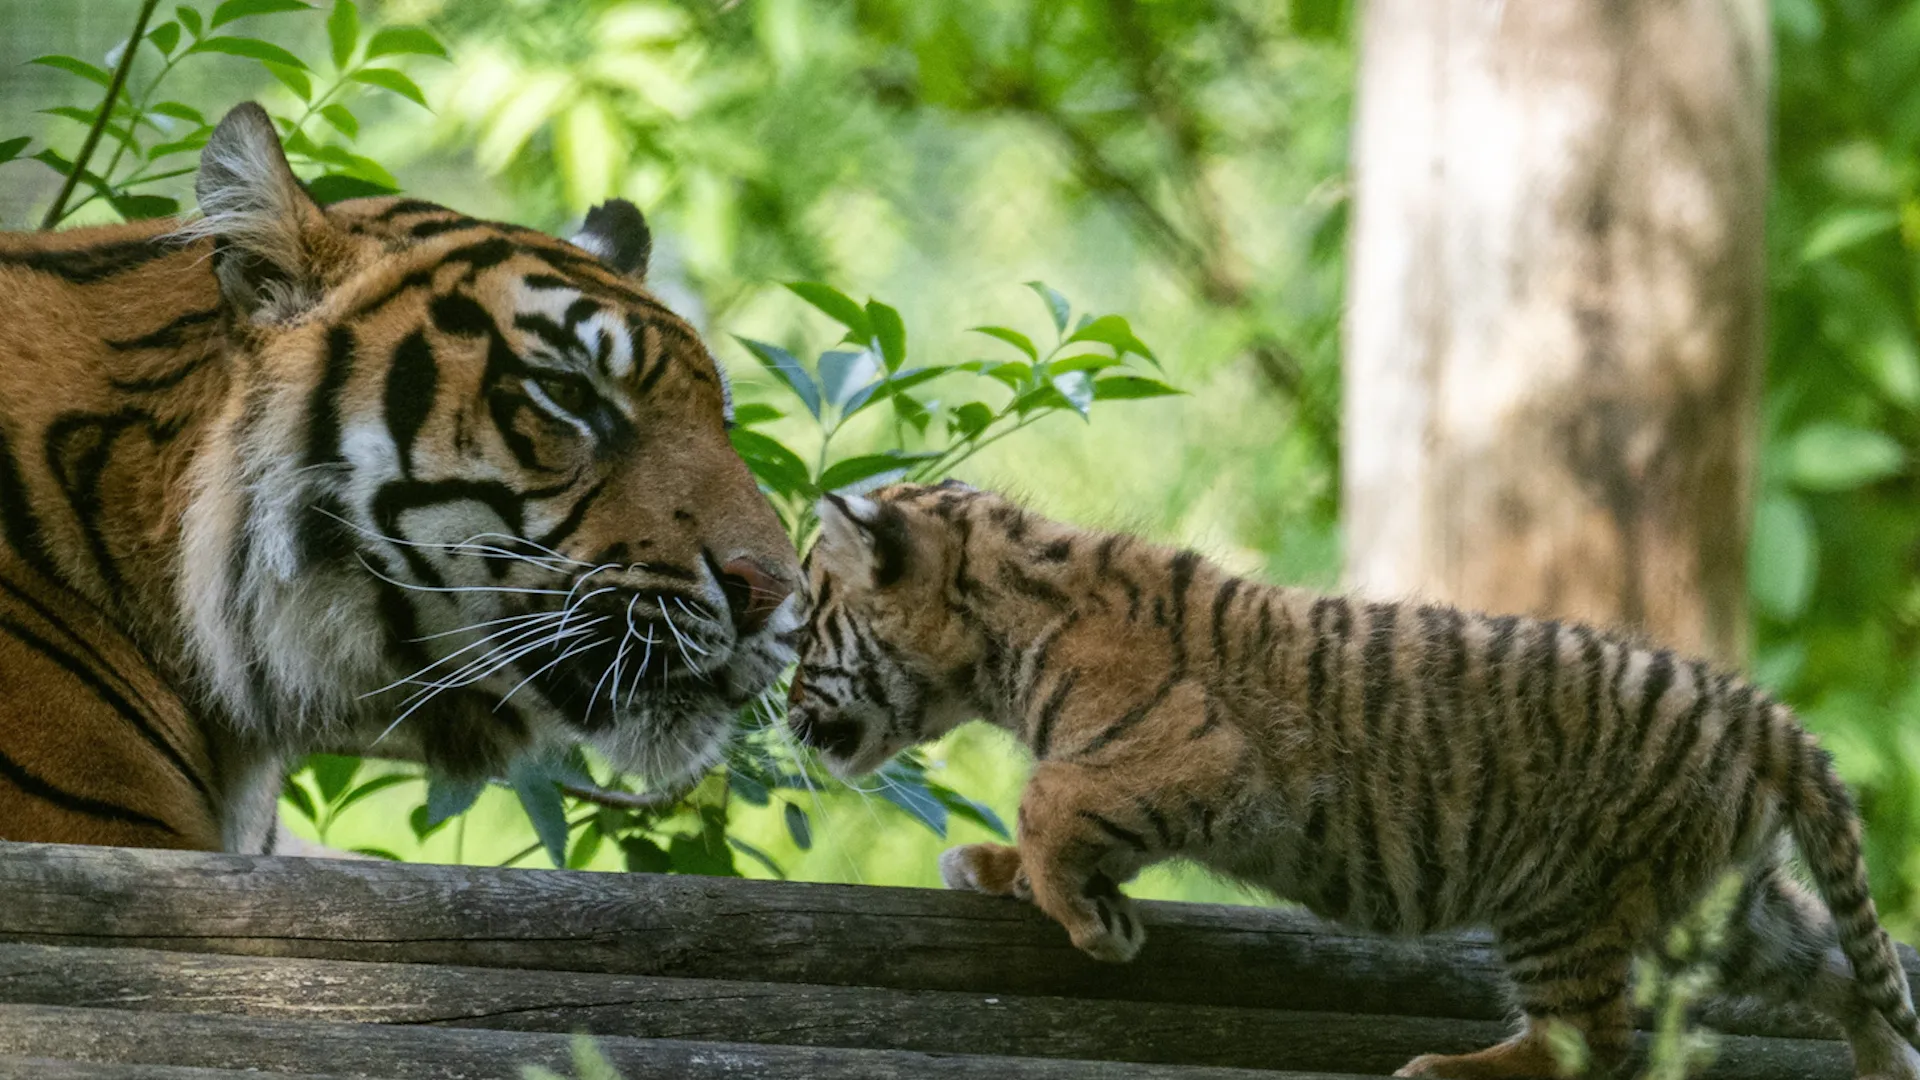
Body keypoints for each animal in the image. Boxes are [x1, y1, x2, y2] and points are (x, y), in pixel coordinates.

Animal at [785, 481, 1920, 1080]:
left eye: (807, 626)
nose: (785, 712)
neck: (999, 640)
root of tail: (1751, 709)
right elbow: (1062, 818)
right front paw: (1005, 873)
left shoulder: (1205, 760)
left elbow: (1049, 795)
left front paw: (1090, 922)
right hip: (1727, 906)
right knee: (1839, 970)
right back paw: (1880, 1063)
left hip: (1561, 897)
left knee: (1586, 1043)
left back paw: (1444, 1073)